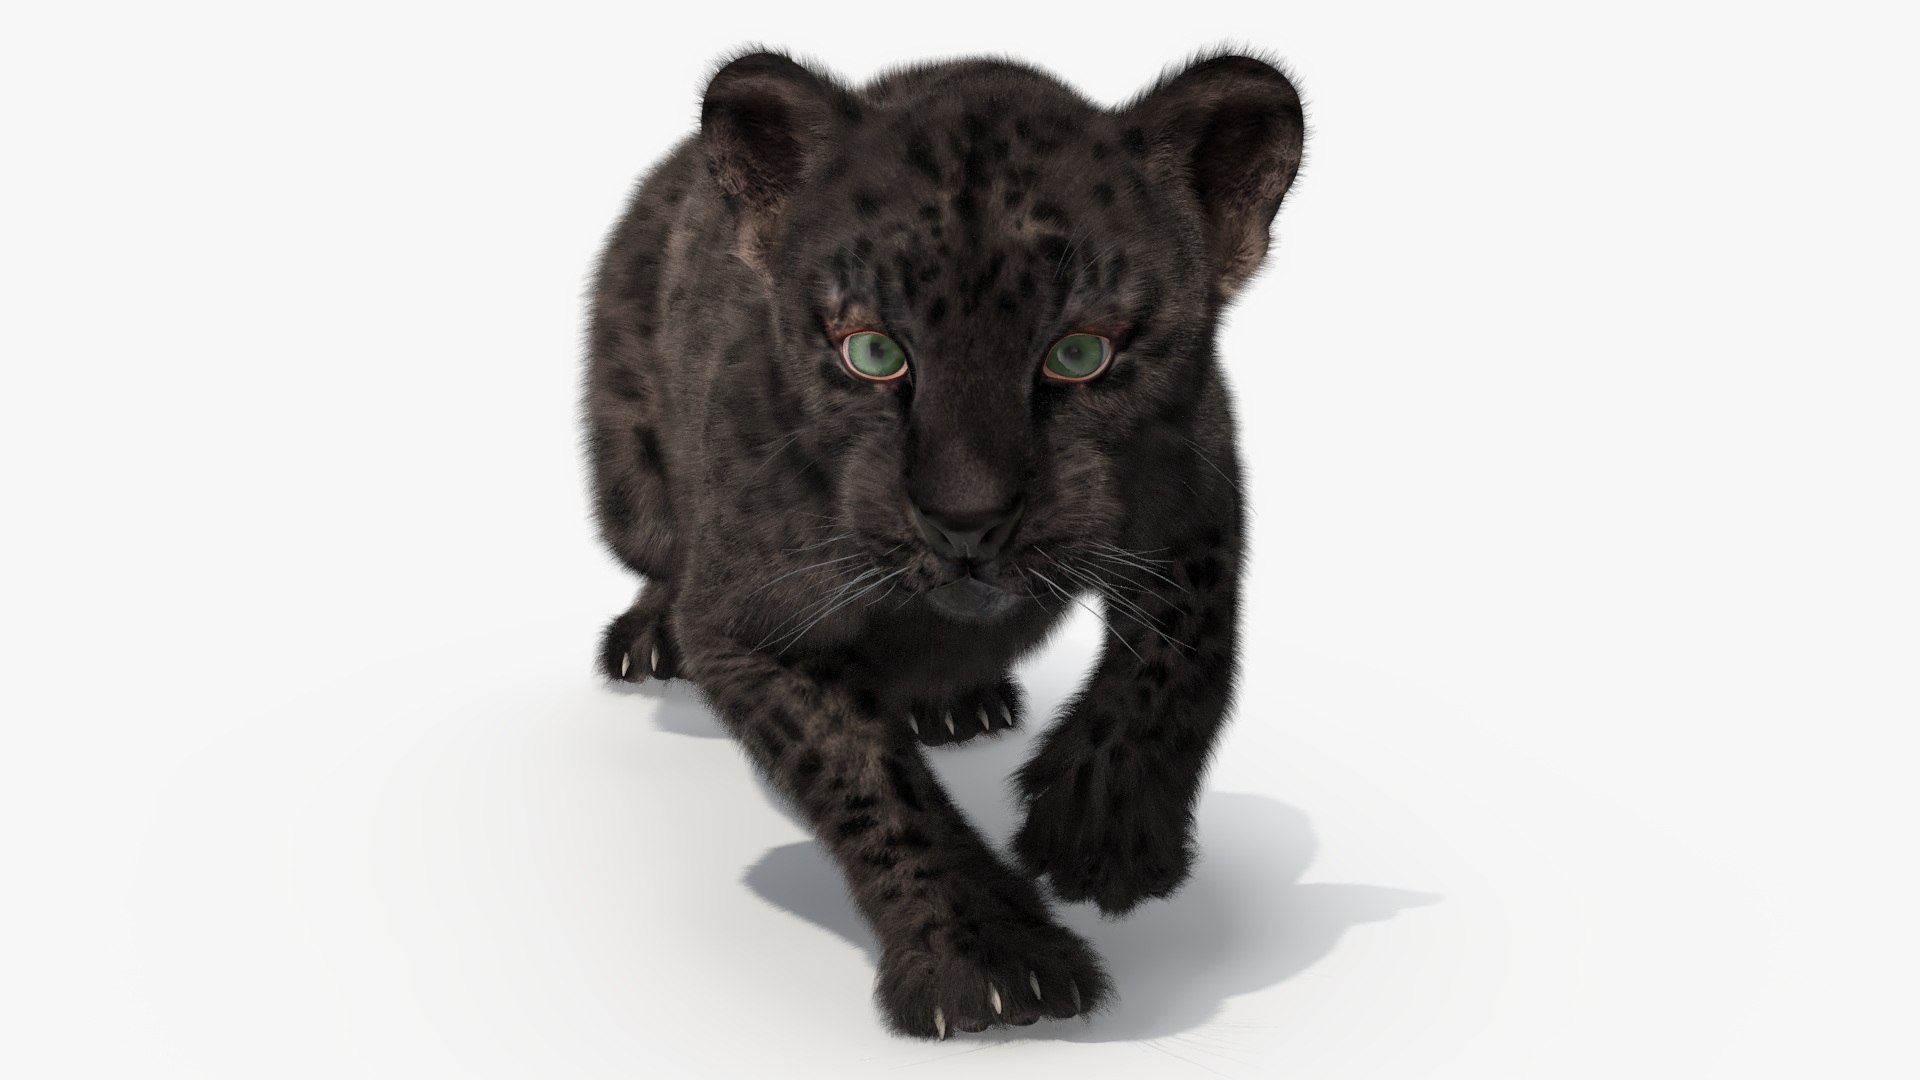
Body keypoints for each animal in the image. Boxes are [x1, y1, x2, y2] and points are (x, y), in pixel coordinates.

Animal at [581, 45, 1305, 1039]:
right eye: (872, 353)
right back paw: (650, 639)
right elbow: (869, 780)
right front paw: (993, 964)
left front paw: (1102, 832)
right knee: (657, 559)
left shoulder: (1196, 497)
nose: (967, 522)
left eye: (1079, 355)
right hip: (629, 478)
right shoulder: (752, 620)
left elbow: (1182, 655)